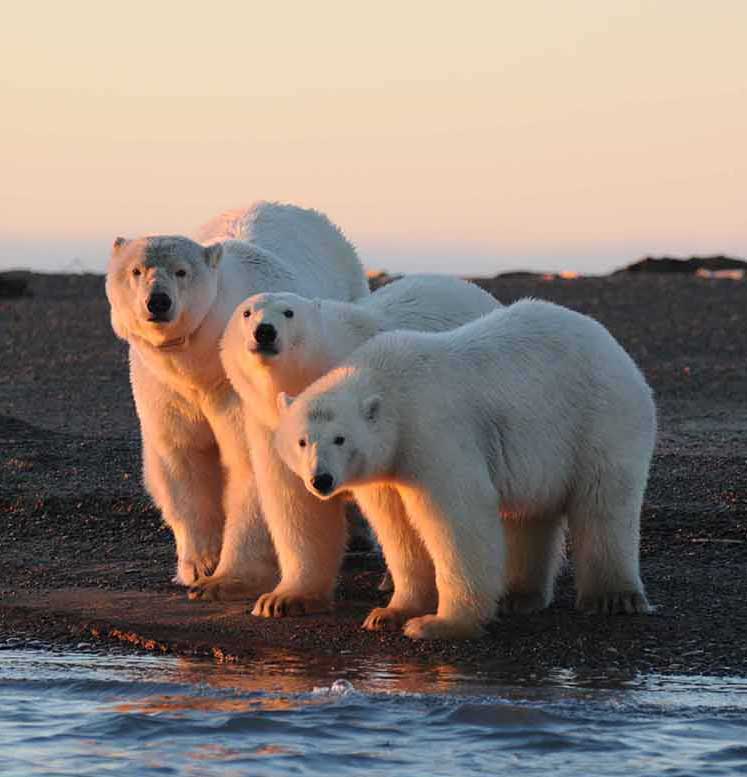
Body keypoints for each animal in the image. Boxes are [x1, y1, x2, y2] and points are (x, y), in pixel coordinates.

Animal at [105, 201, 369, 590]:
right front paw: (197, 565)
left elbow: (248, 460)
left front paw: (228, 574)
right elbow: (182, 457)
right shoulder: (165, 385)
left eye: (182, 272)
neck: (200, 363)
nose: (158, 301)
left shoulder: (236, 386)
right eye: (136, 270)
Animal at [187, 274, 500, 610]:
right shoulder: (271, 426)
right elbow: (293, 500)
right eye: (247, 313)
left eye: (289, 312)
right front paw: (279, 597)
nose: (265, 331)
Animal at [274, 298, 657, 640]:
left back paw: (613, 597)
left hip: (601, 417)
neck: (392, 387)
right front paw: (389, 613)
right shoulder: (388, 469)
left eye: (340, 438)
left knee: (604, 503)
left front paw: (438, 624)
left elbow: (457, 518)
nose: (321, 479)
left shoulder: (434, 433)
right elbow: (397, 527)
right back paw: (518, 595)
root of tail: (613, 346)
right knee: (529, 515)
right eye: (302, 441)